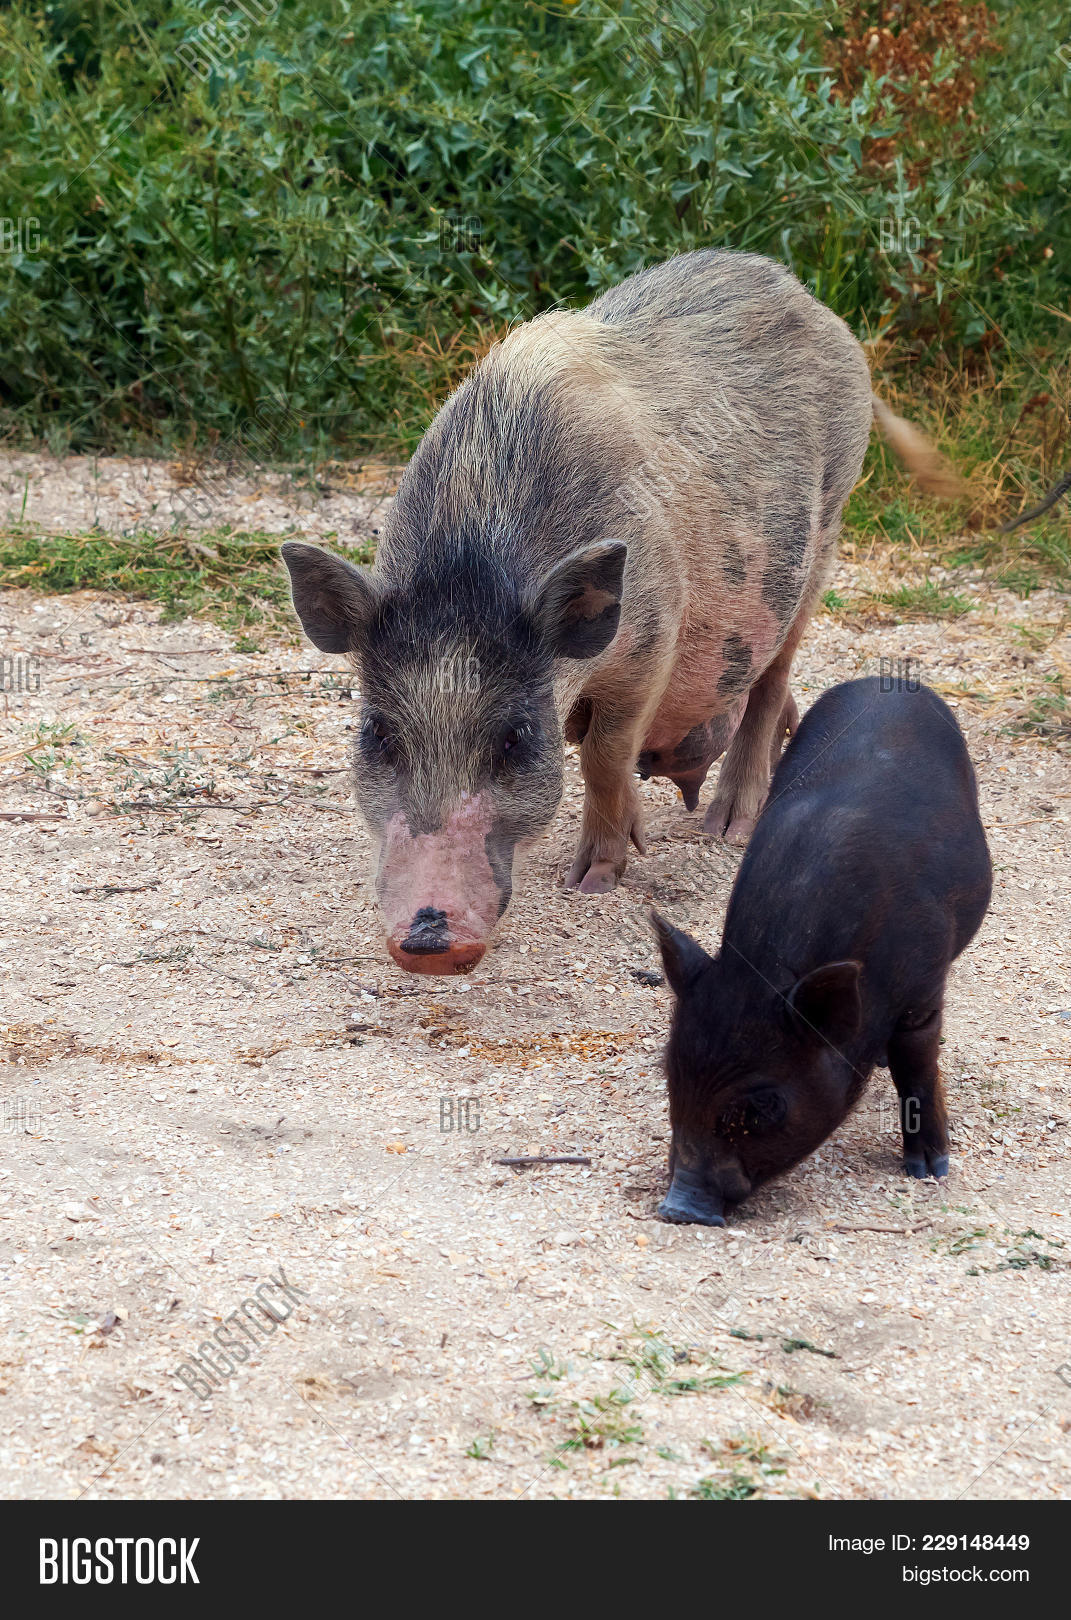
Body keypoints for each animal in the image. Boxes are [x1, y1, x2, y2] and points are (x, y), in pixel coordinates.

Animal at [281, 249, 960, 974]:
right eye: (376, 733)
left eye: (516, 737)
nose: (428, 940)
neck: (473, 561)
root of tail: (811, 301)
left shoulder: (652, 636)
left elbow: (603, 756)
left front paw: (593, 881)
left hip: (828, 525)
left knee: (771, 679)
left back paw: (727, 828)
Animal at [652, 676, 993, 1227]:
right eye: (671, 1071)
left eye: (766, 1106)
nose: (679, 1206)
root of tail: (884, 681)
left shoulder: (923, 989)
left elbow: (917, 1064)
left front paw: (929, 1171)